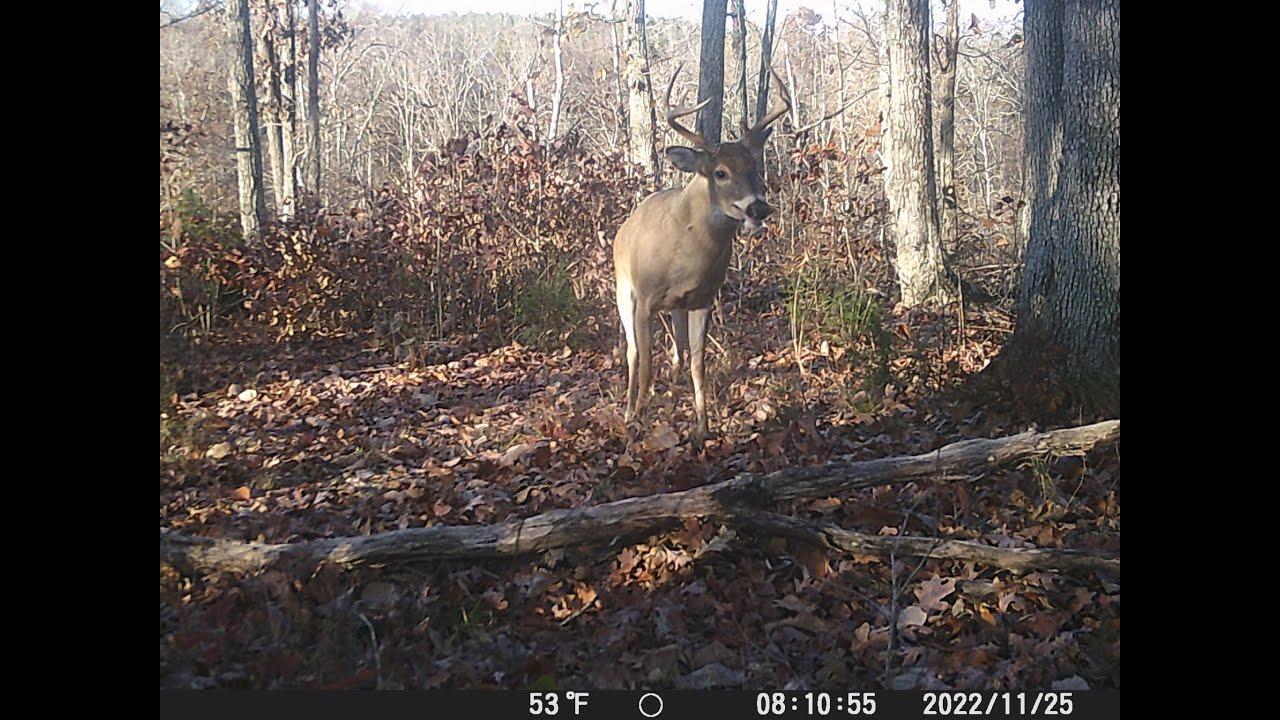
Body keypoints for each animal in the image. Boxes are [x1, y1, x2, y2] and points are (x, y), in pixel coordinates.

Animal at [613, 63, 790, 443]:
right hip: (623, 290)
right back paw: (629, 409)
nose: (758, 208)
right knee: (632, 352)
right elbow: (645, 361)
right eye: (720, 172)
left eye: (755, 167)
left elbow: (698, 362)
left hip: (676, 307)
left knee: (677, 353)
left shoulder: (703, 298)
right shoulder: (646, 296)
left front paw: (703, 426)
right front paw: (638, 420)